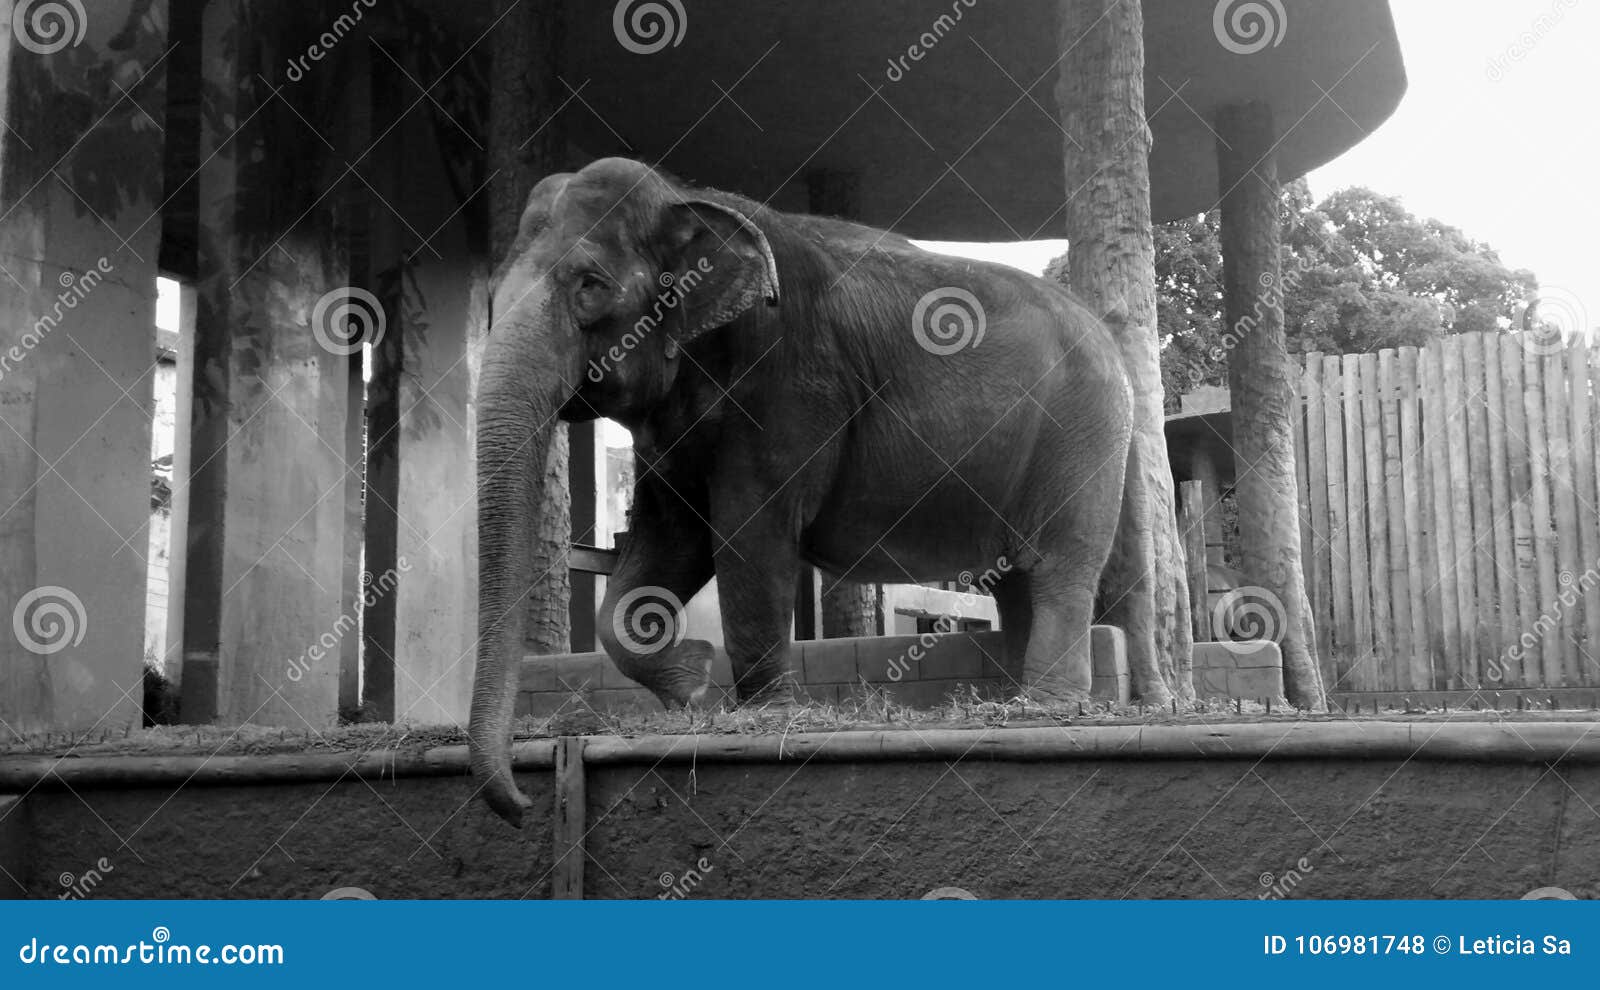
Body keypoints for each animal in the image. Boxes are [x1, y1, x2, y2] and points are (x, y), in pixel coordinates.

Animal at [470, 157, 1155, 825]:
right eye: (491, 293)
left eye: (589, 285)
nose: (523, 805)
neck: (682, 193)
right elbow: (669, 544)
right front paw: (691, 685)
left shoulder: (791, 383)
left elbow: (749, 532)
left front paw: (756, 714)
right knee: (1016, 577)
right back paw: (1015, 703)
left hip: (1083, 432)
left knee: (1058, 565)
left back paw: (1045, 709)